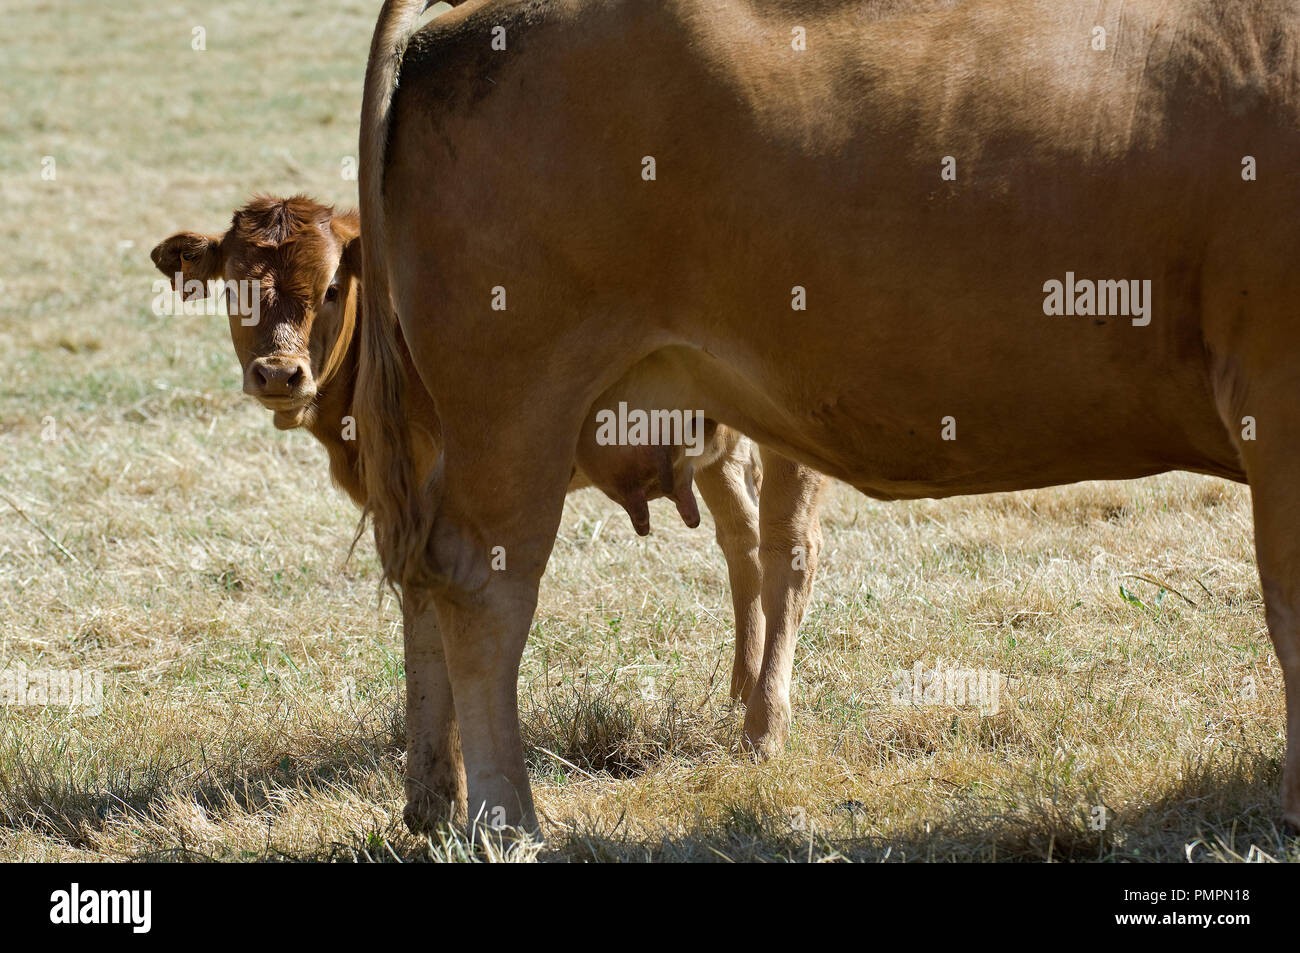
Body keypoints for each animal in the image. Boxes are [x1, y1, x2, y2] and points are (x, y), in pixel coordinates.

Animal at [151, 195, 825, 828]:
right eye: (234, 288)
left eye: (333, 288)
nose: (278, 374)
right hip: (722, 449)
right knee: (741, 542)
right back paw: (740, 692)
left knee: (787, 551)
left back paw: (764, 729)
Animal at [352, 0, 1300, 836]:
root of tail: (461, 20)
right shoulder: (1275, 392)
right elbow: (1289, 608)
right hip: (517, 401)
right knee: (482, 585)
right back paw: (505, 815)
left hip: (456, 425)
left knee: (422, 575)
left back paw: (431, 796)